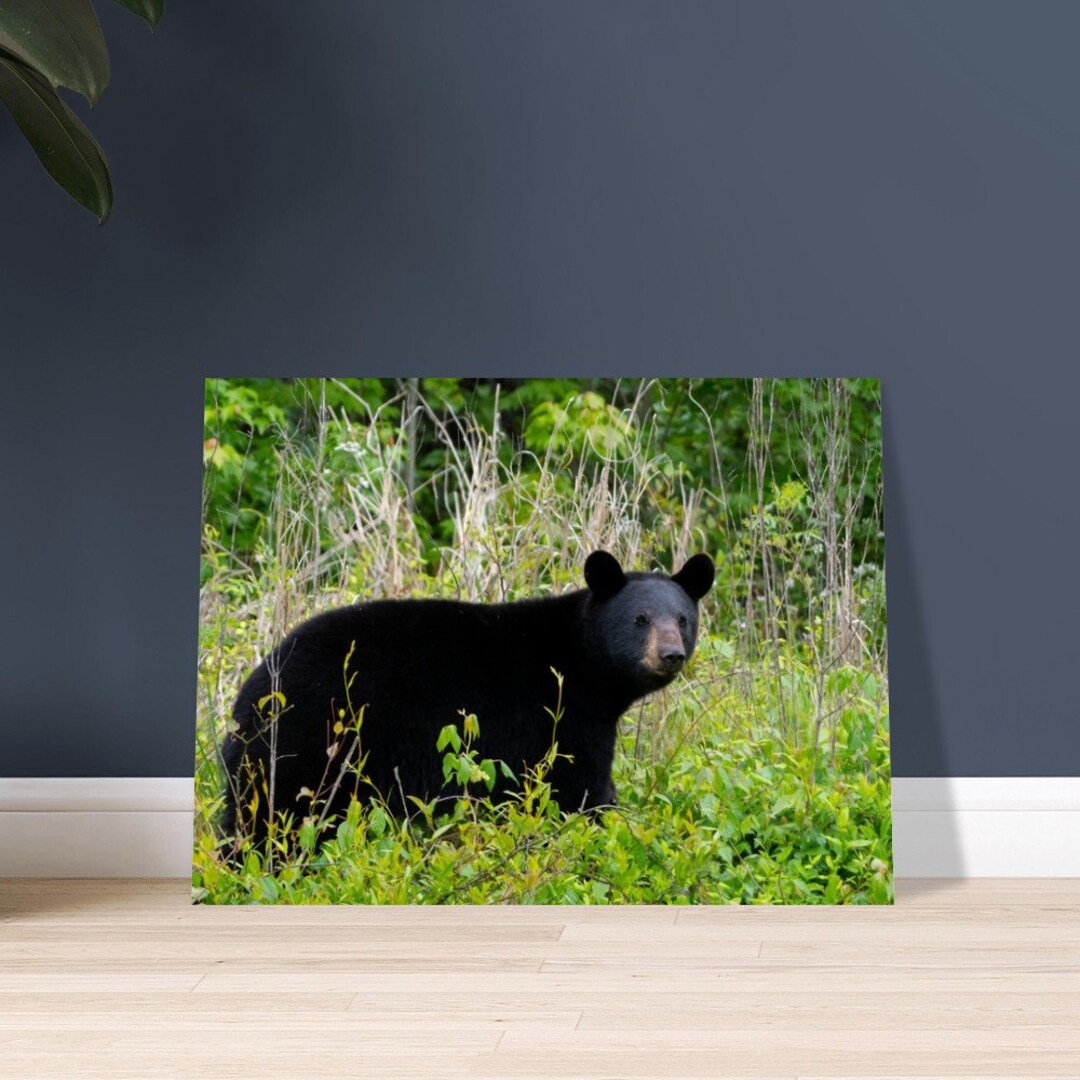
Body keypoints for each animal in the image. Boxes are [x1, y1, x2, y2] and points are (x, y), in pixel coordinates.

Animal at [220, 550, 714, 850]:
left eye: (682, 619)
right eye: (640, 619)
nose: (670, 654)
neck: (586, 662)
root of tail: (250, 694)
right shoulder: (562, 714)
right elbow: (579, 787)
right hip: (309, 740)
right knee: (275, 814)